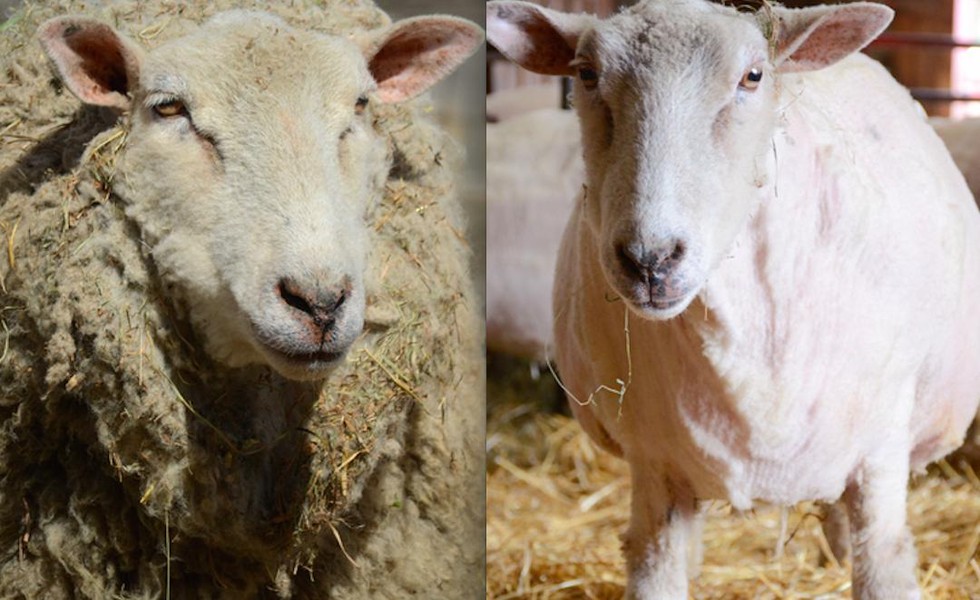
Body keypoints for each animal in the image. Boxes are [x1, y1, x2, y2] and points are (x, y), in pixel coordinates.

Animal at [487, 1, 980, 598]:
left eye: (753, 76)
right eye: (585, 74)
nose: (649, 259)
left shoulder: (881, 450)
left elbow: (883, 563)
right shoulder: (654, 462)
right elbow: (655, 567)